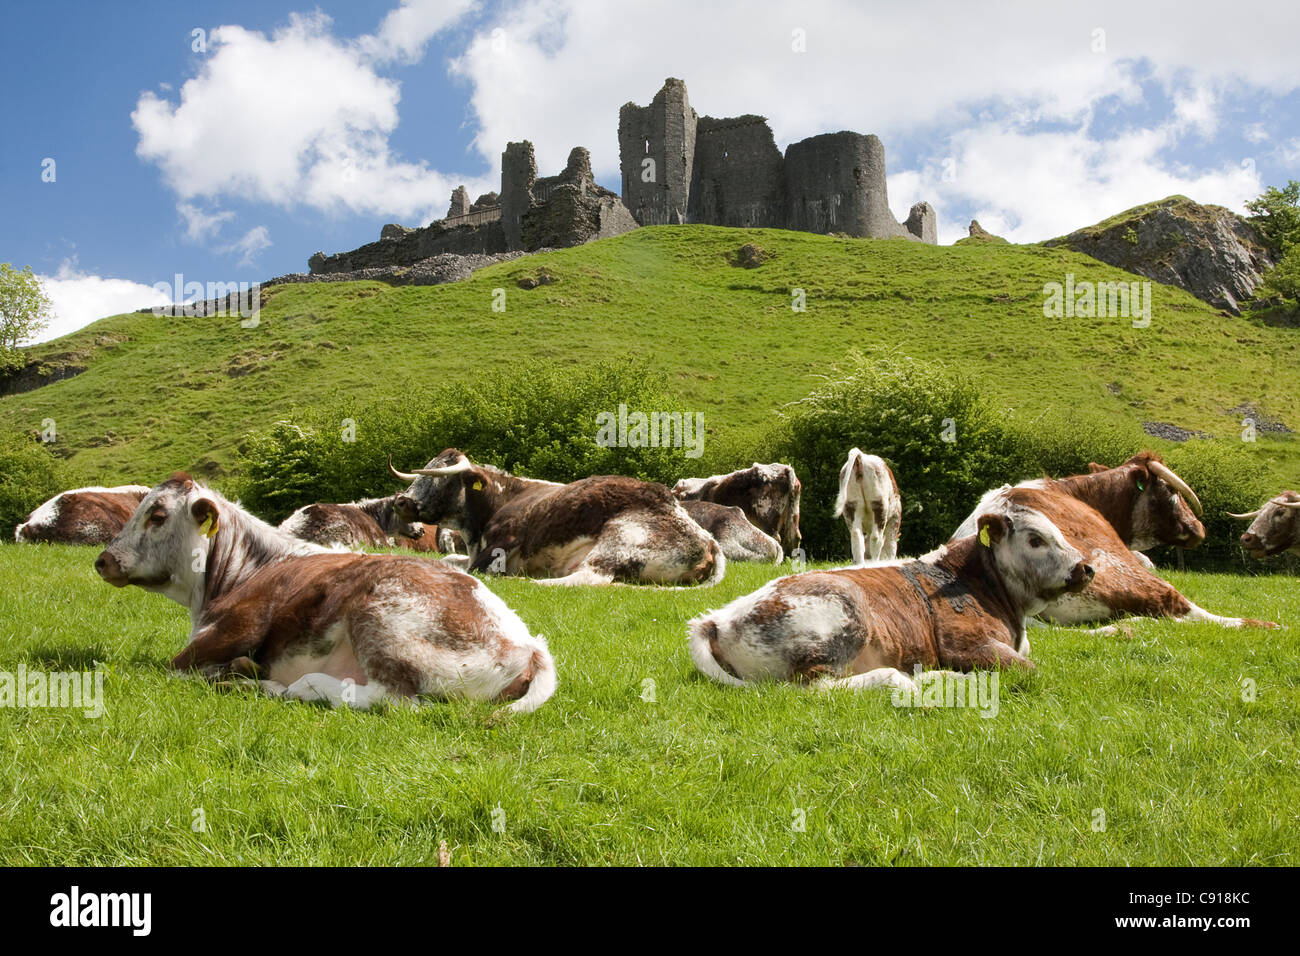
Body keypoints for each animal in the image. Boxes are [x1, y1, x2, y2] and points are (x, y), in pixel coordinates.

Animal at [94, 472, 556, 713]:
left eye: (157, 515)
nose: (104, 560)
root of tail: (527, 642)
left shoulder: (238, 625)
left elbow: (176, 667)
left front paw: (235, 672)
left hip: (379, 617)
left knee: (391, 699)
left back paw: (287, 686)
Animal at [389, 450, 724, 586]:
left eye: (442, 478)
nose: (402, 501)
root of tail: (709, 541)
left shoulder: (497, 548)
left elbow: (468, 569)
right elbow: (448, 560)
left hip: (618, 540)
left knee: (587, 579)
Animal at [689, 504, 1093, 691]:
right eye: (1035, 539)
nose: (1086, 568)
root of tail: (717, 618)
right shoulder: (967, 644)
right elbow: (1030, 669)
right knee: (817, 686)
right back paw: (901, 679)